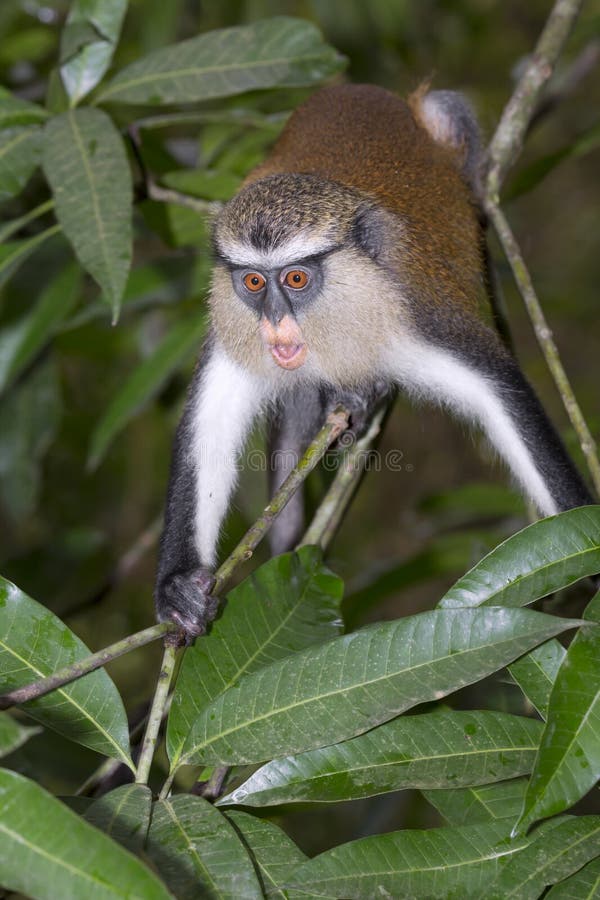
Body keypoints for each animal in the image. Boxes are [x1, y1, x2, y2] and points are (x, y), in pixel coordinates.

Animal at [154, 83, 594, 637]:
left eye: (295, 278)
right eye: (254, 281)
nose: (274, 322)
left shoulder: (415, 320)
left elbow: (505, 397)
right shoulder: (231, 335)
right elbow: (208, 429)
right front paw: (177, 587)